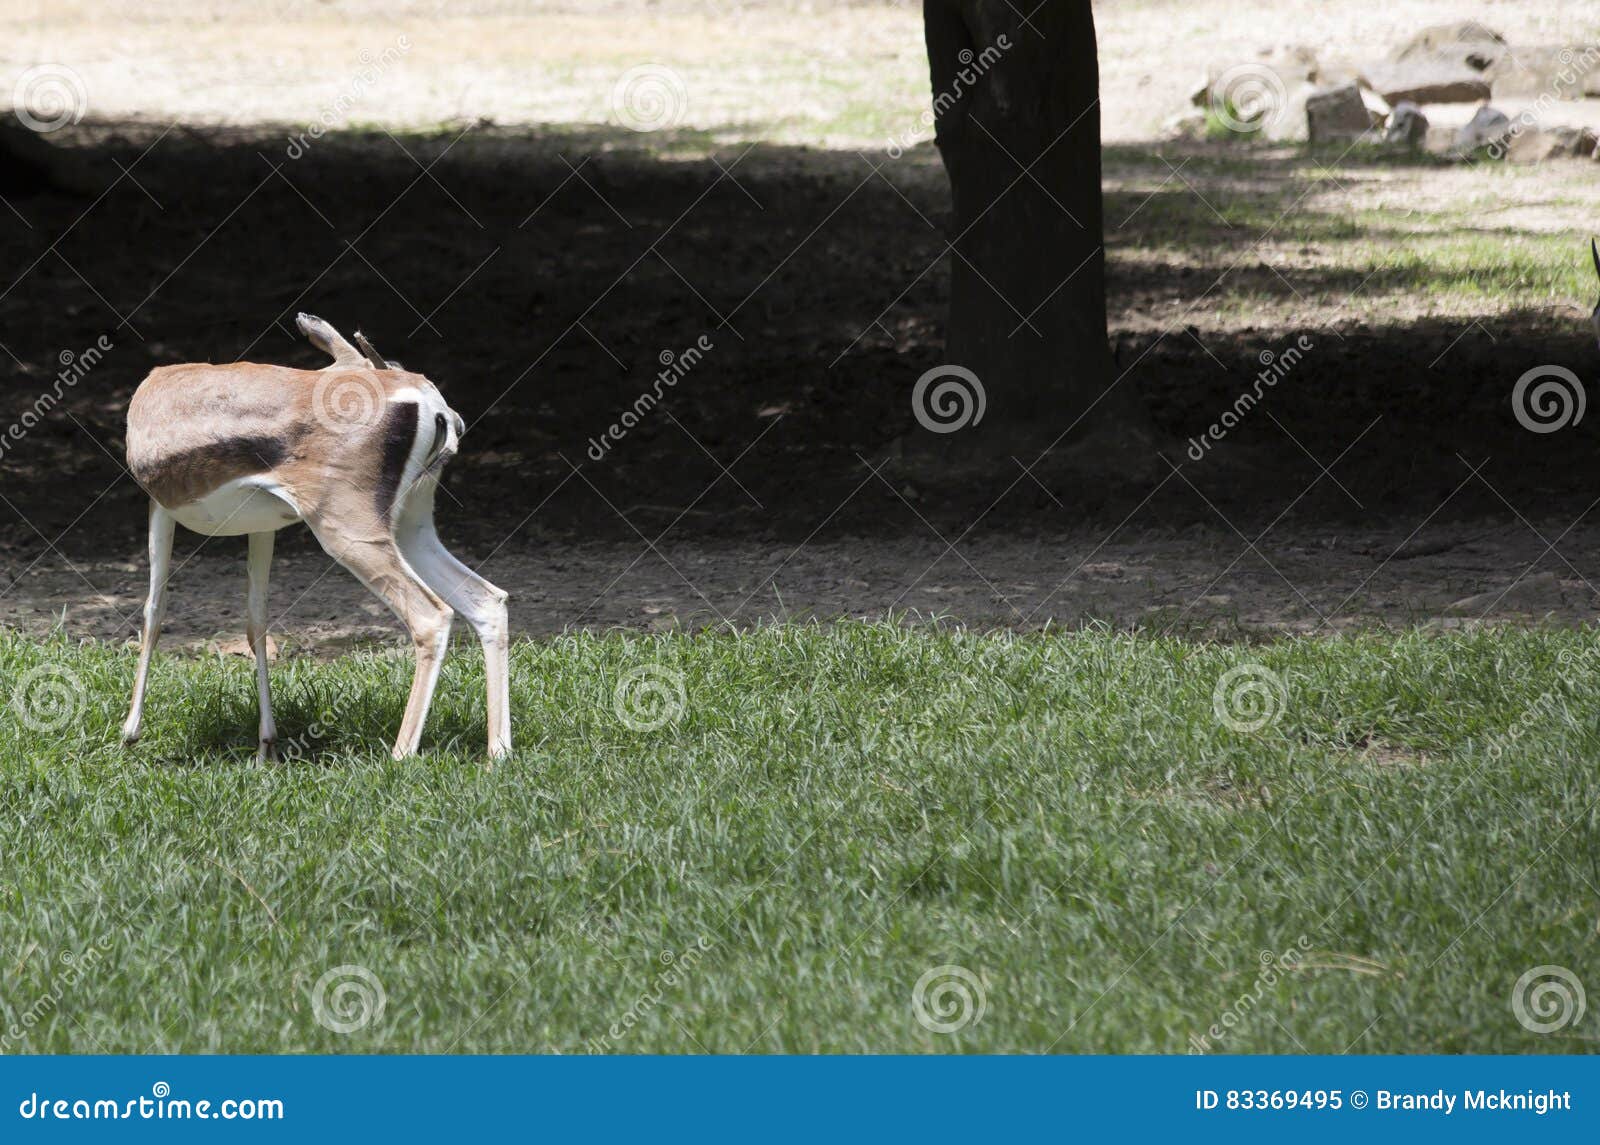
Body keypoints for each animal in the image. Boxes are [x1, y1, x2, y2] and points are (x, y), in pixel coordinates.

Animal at [121, 314, 511, 762]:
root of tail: (429, 402)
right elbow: (256, 622)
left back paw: (399, 758)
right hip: (411, 529)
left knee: (431, 617)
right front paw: (265, 747)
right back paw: (497, 756)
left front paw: (129, 733)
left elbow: (154, 611)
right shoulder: (262, 528)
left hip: (349, 535)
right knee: (487, 601)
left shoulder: (159, 508)